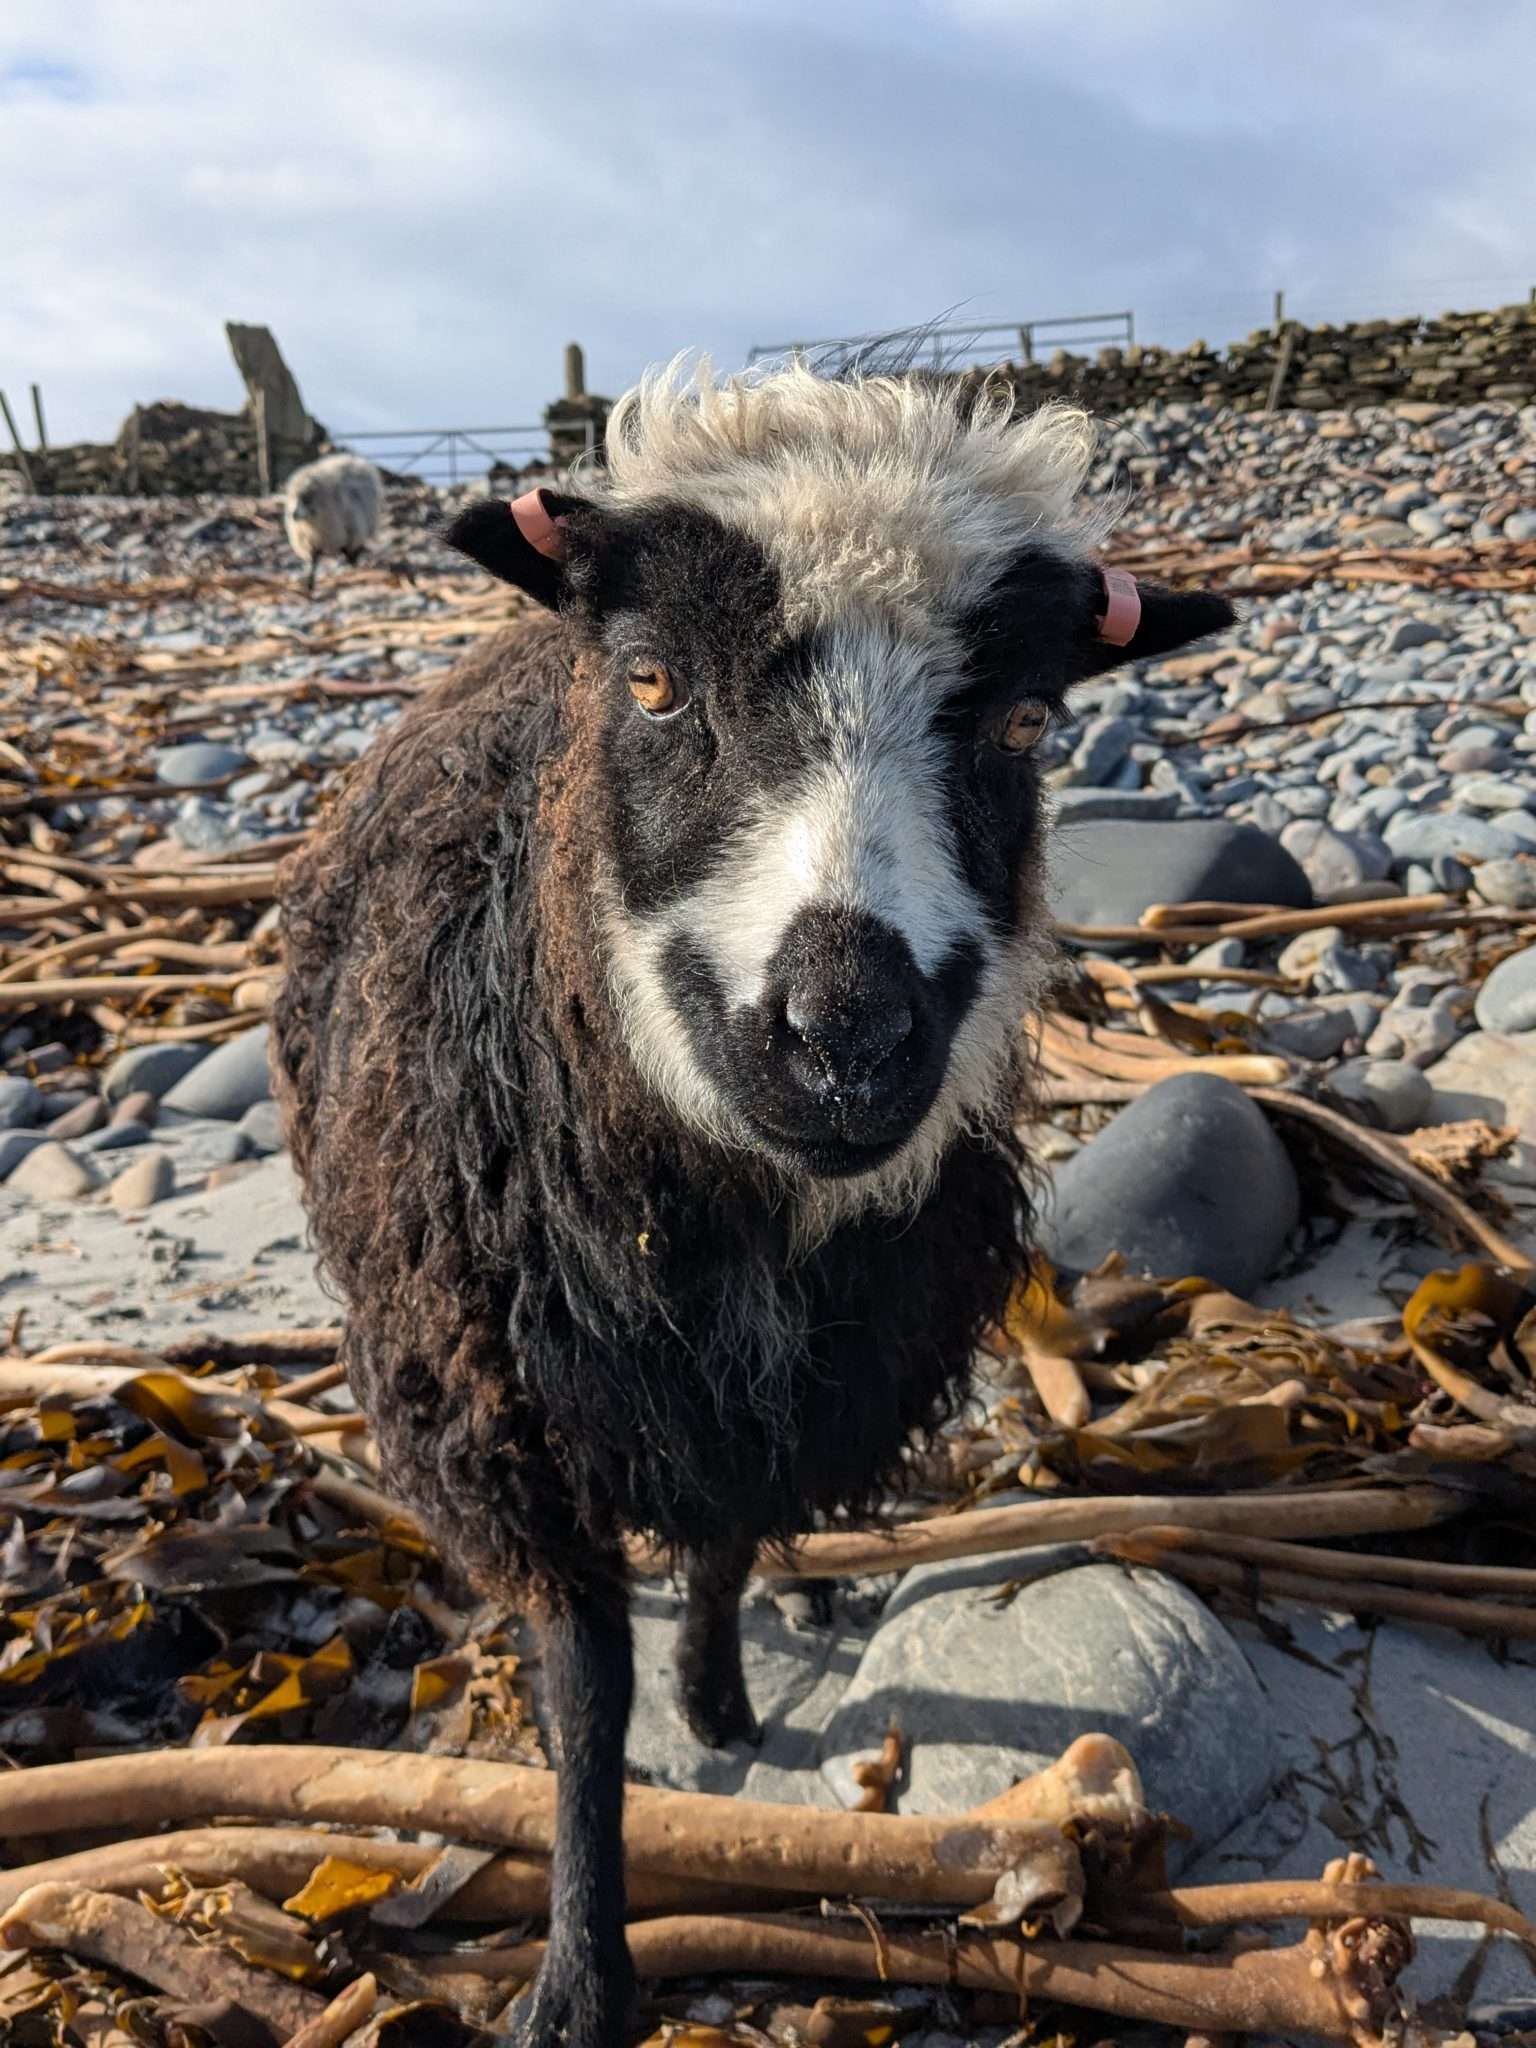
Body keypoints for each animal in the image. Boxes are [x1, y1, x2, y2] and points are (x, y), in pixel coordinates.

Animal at [282, 450, 384, 592]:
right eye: (293, 498)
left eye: (306, 499)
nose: (293, 515)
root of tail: (351, 457)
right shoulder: (312, 543)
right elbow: (313, 563)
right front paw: (310, 585)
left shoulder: (349, 533)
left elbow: (349, 553)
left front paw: (354, 570)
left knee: (354, 549)